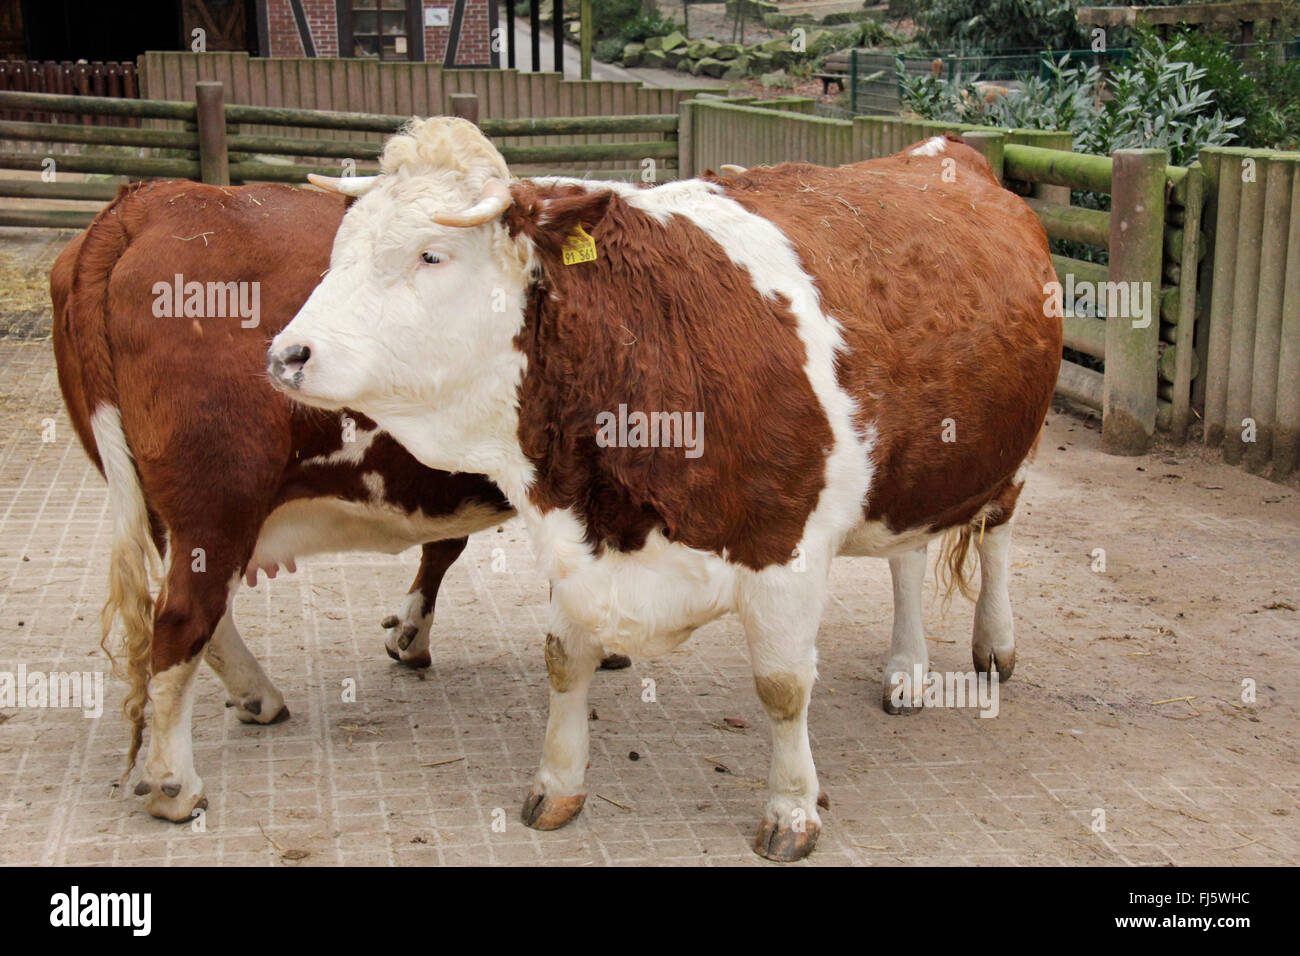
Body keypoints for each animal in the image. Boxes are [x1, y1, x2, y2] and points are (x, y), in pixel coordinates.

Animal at [51, 181, 517, 822]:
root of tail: (153, 199)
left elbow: (447, 548)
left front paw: (409, 636)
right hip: (219, 496)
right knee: (181, 617)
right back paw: (174, 785)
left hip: (170, 509)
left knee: (203, 615)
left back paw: (257, 698)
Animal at [267, 121, 1062, 861]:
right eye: (338, 252)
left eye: (432, 255)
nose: (285, 354)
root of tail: (945, 147)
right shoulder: (571, 537)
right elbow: (564, 662)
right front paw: (557, 787)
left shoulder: (787, 550)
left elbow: (782, 686)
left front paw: (791, 811)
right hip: (912, 463)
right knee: (907, 554)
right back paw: (907, 669)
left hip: (1014, 452)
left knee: (996, 534)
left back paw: (993, 645)